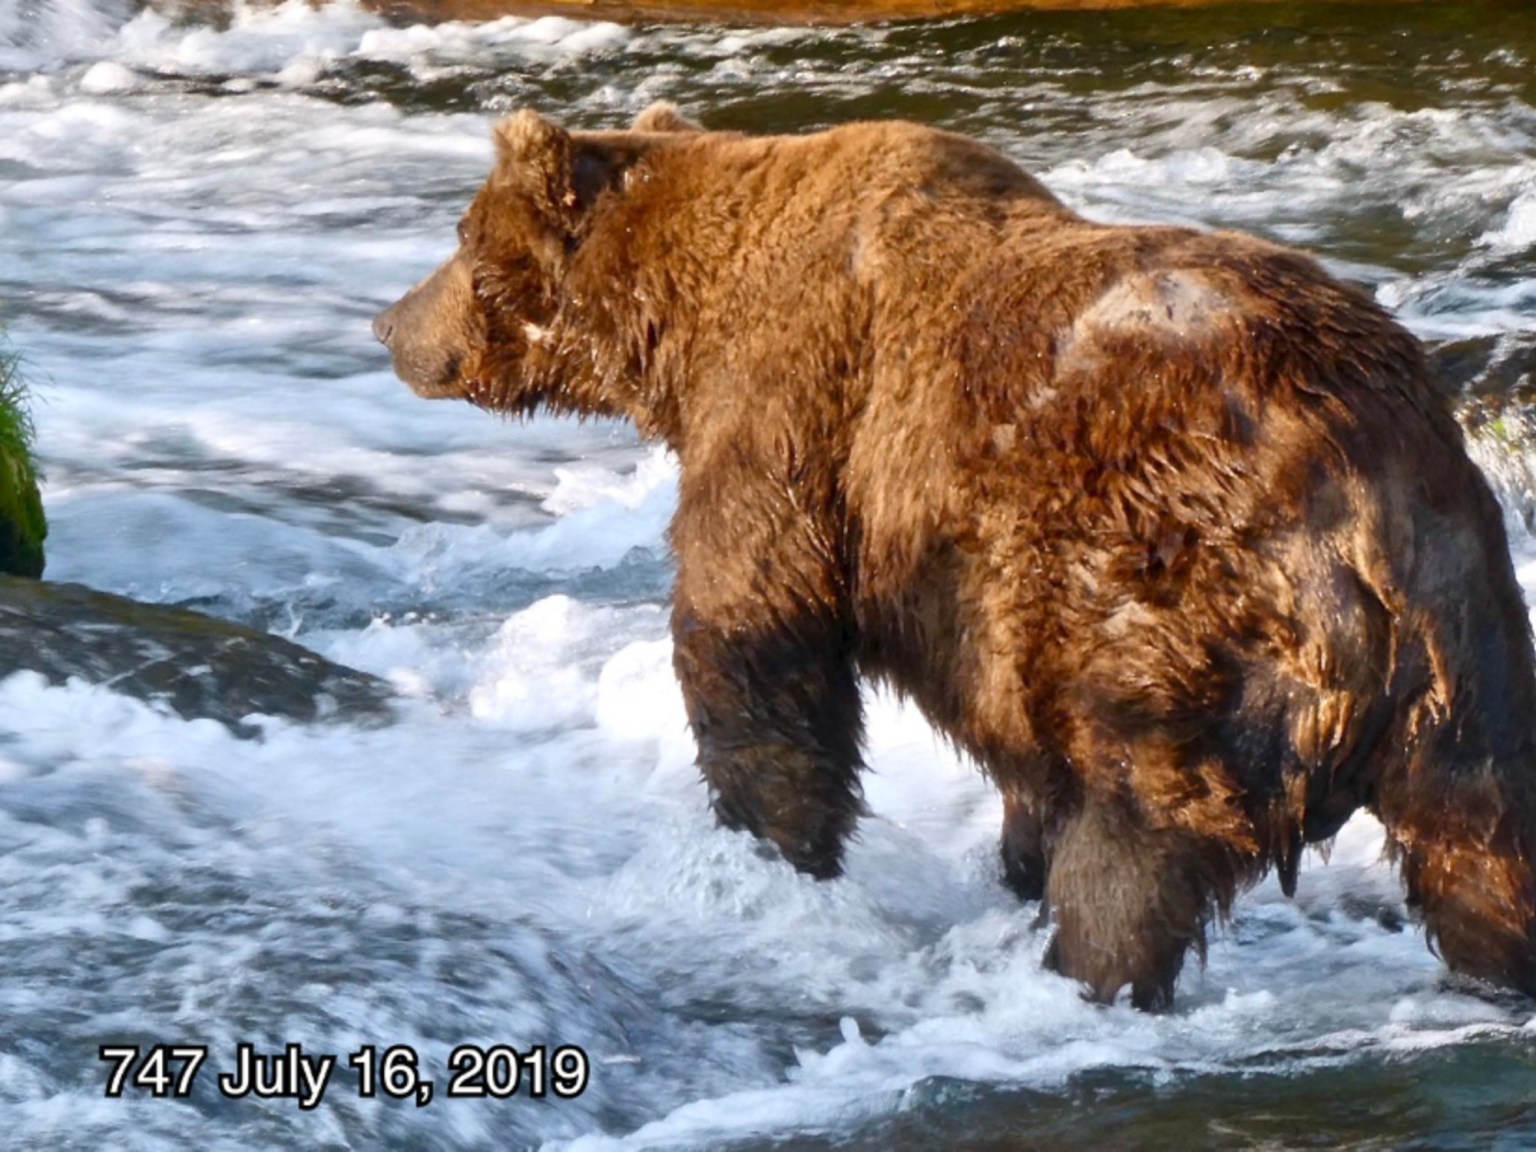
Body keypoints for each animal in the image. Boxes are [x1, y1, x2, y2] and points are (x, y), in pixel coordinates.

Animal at [374, 103, 1536, 1010]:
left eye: (463, 236)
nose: (388, 323)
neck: (682, 327)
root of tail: (1360, 494)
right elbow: (1020, 763)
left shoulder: (795, 411)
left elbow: (754, 636)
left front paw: (766, 860)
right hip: (1465, 643)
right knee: (1483, 847)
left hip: (1182, 599)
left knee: (1137, 835)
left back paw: (1084, 978)